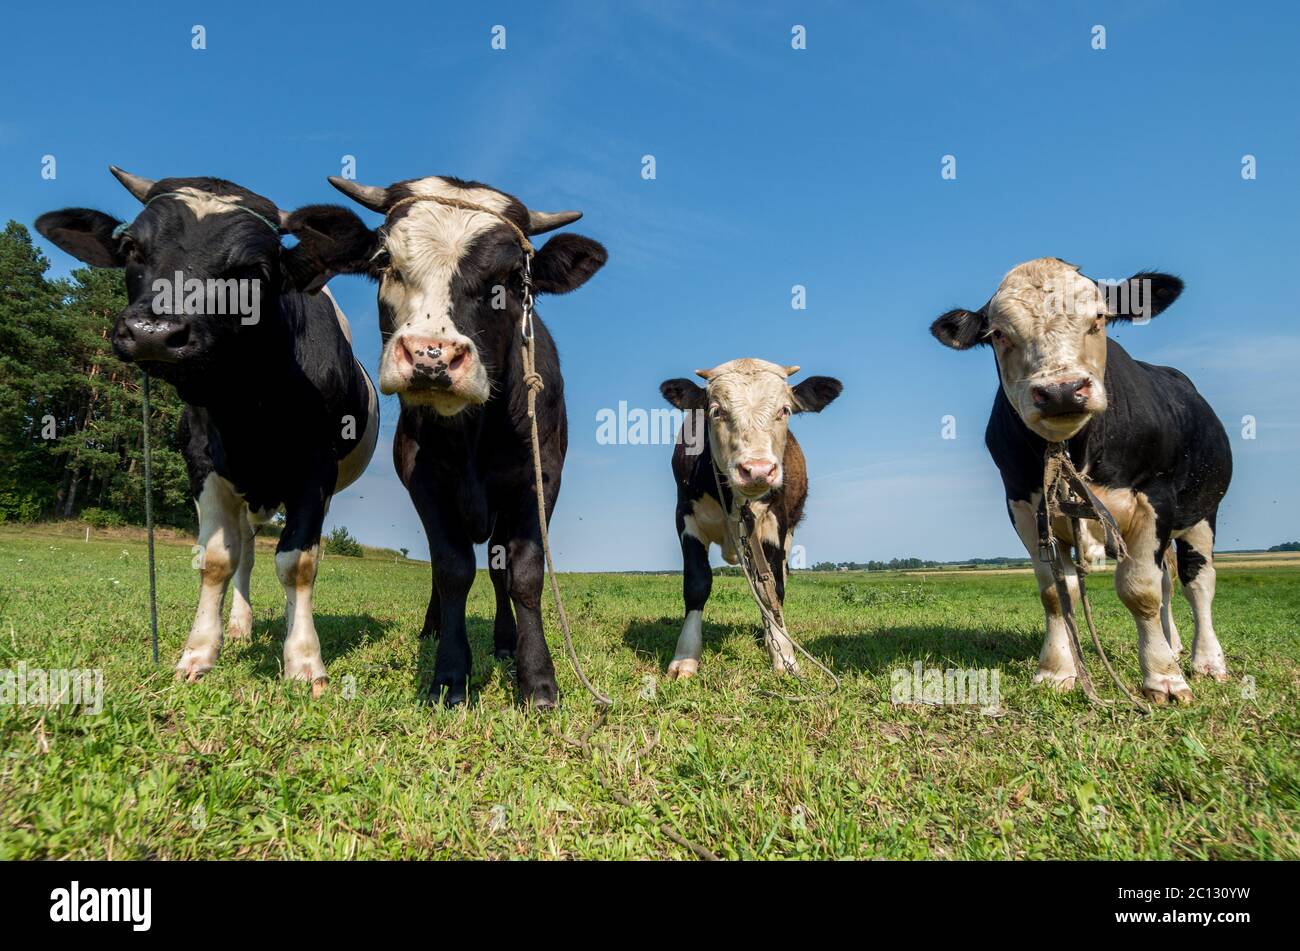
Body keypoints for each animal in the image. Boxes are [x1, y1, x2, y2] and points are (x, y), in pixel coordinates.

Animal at [36, 168, 379, 696]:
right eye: (131, 247)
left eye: (255, 270)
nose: (154, 333)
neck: (248, 406)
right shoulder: (203, 464)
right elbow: (217, 559)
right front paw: (199, 652)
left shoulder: (315, 468)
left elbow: (298, 563)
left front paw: (303, 660)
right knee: (246, 555)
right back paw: (240, 625)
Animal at [278, 175, 607, 707]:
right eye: (385, 261)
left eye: (512, 279)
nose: (431, 356)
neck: (473, 430)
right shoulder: (424, 479)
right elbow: (452, 569)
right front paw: (450, 673)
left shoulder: (540, 479)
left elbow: (524, 573)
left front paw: (537, 679)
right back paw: (434, 628)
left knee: (498, 568)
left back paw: (504, 639)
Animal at [659, 359, 842, 679]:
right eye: (716, 410)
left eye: (785, 410)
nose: (757, 469)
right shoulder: (686, 519)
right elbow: (696, 583)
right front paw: (685, 657)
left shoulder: (773, 525)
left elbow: (772, 589)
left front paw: (783, 655)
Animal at [929, 257, 1232, 703]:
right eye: (999, 334)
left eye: (1099, 318)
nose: (1061, 391)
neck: (1076, 445)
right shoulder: (1024, 506)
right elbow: (1057, 592)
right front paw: (1057, 669)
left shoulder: (1155, 498)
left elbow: (1140, 589)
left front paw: (1163, 678)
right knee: (1168, 584)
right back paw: (1173, 643)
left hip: (1202, 513)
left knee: (1199, 581)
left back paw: (1206, 660)